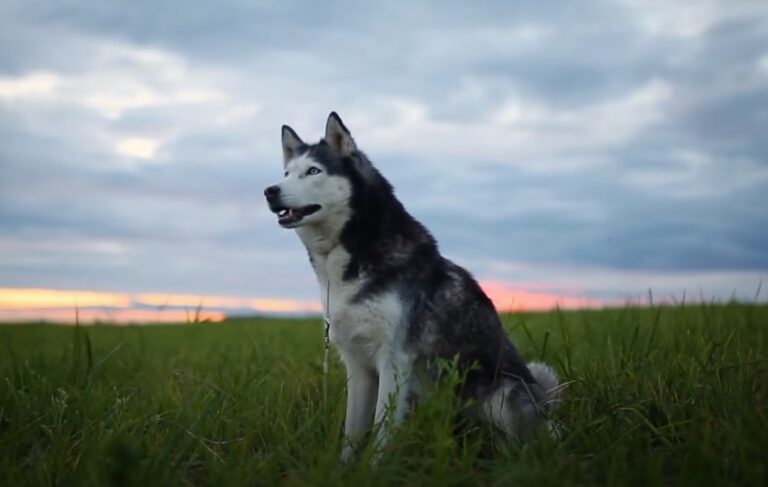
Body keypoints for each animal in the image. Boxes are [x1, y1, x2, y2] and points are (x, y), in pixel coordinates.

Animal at [264, 112, 560, 462]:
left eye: (313, 171)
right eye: (286, 173)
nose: (269, 191)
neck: (349, 261)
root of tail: (547, 409)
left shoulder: (394, 359)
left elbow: (381, 430)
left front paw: (374, 467)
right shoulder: (358, 365)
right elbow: (353, 431)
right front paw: (345, 467)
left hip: (503, 393)